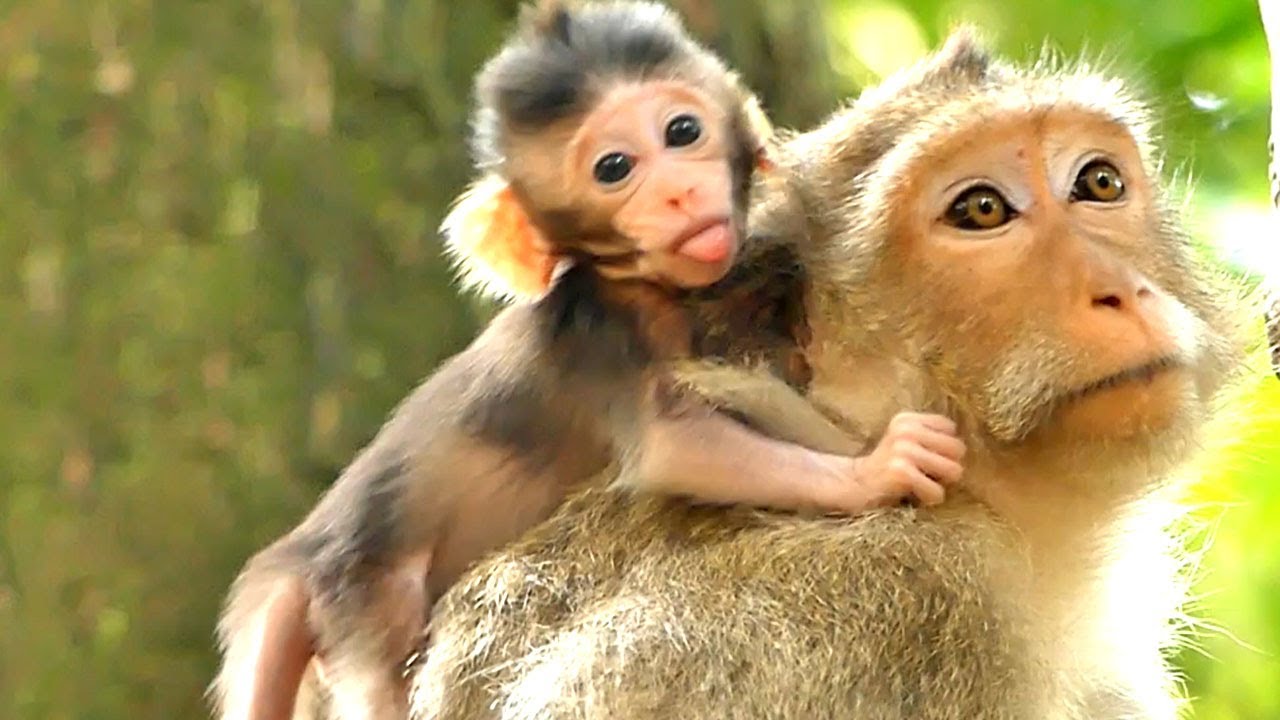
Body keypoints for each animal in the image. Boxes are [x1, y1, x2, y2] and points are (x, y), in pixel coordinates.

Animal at [211, 3, 967, 720]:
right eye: (613, 169)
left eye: (682, 131)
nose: (678, 193)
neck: (642, 288)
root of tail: (301, 550)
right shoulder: (605, 338)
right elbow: (675, 446)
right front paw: (880, 467)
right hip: (361, 597)